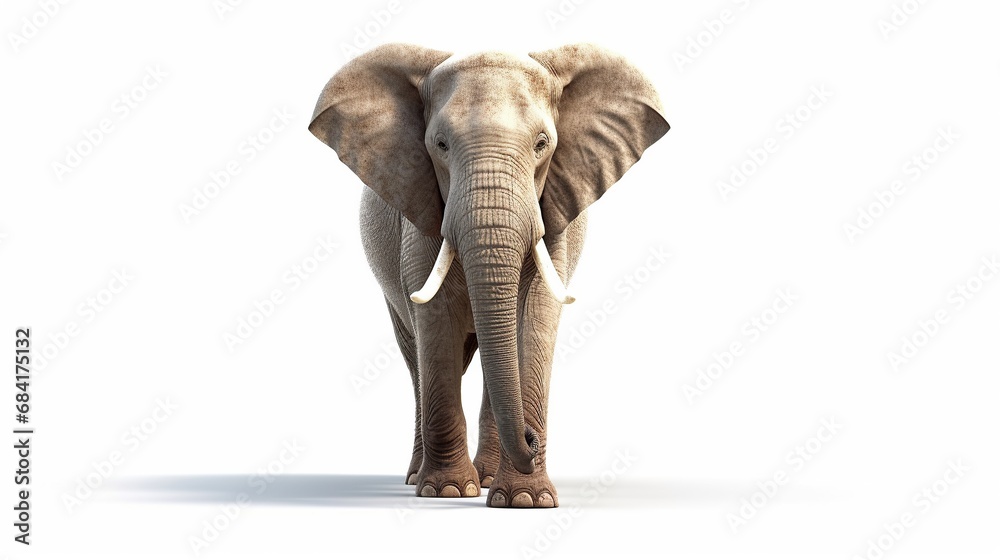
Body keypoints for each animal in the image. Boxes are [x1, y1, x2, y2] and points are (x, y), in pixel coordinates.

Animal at [309, 43, 668, 507]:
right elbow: (435, 318)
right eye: (440, 145)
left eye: (542, 144)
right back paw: (420, 477)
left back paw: (484, 478)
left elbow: (534, 315)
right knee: (415, 357)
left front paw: (526, 500)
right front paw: (446, 492)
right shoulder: (421, 212)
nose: (532, 440)